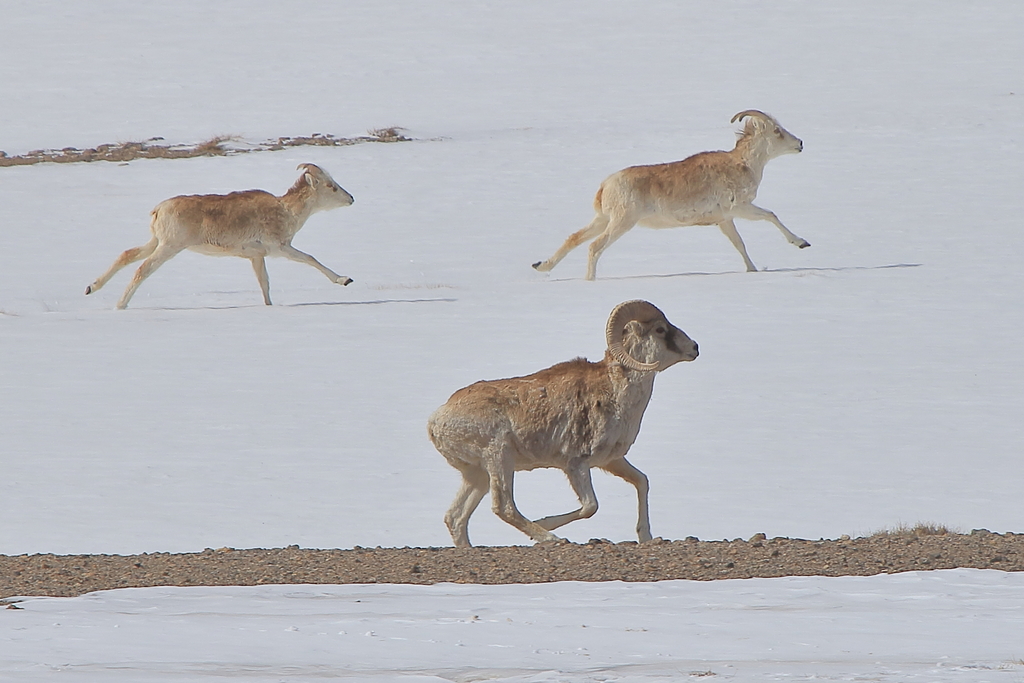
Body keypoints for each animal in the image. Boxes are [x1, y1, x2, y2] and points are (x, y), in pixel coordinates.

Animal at [85, 163, 355, 309]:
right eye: (330, 186)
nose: (351, 198)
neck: (286, 211)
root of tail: (158, 209)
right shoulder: (280, 248)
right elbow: (310, 258)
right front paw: (345, 280)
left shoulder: (257, 257)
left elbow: (264, 283)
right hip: (169, 246)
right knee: (142, 269)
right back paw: (120, 305)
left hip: (156, 242)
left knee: (127, 255)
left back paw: (90, 288)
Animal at [427, 300, 698, 547]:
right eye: (660, 329)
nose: (695, 348)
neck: (617, 395)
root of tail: (436, 421)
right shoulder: (576, 464)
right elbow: (590, 506)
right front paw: (546, 524)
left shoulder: (612, 461)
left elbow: (642, 482)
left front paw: (646, 537)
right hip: (499, 458)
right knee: (504, 508)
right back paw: (550, 538)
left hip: (478, 475)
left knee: (456, 518)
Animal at [532, 110, 809, 280]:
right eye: (776, 131)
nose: (800, 144)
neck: (743, 165)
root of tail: (605, 186)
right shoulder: (740, 209)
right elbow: (771, 215)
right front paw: (801, 243)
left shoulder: (724, 220)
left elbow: (739, 244)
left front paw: (753, 271)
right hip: (621, 222)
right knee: (594, 246)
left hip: (603, 220)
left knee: (574, 238)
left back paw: (541, 266)